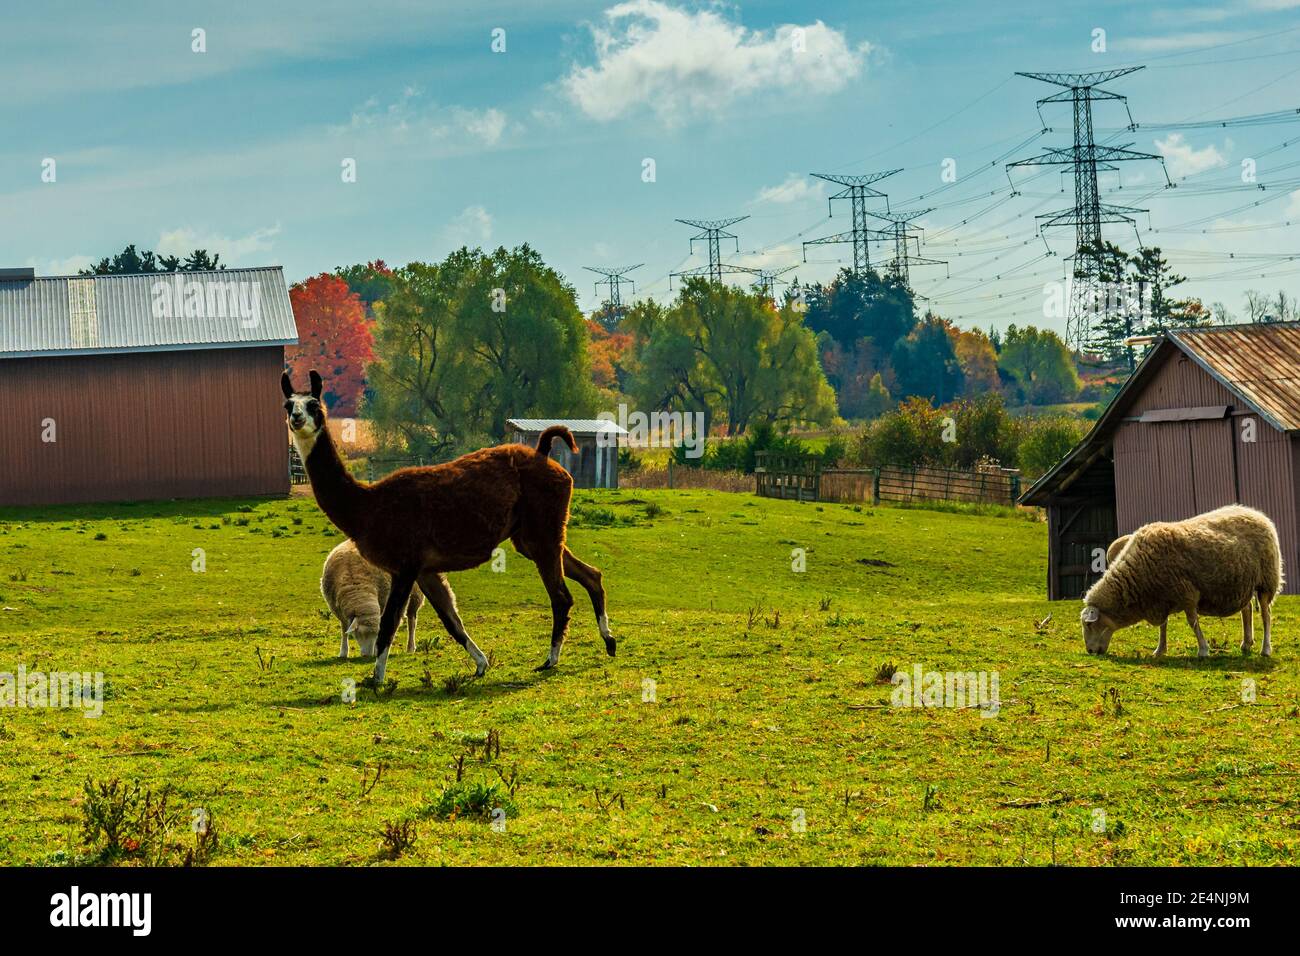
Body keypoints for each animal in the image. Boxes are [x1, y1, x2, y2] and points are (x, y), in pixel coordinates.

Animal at [1081, 505, 1282, 658]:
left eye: (1089, 624)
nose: (1090, 651)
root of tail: (1257, 514)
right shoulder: (1160, 596)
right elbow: (1163, 626)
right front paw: (1160, 650)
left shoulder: (1186, 592)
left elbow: (1192, 622)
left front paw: (1203, 650)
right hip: (1241, 582)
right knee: (1247, 609)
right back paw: (1246, 643)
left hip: (1266, 580)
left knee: (1266, 615)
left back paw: (1265, 649)